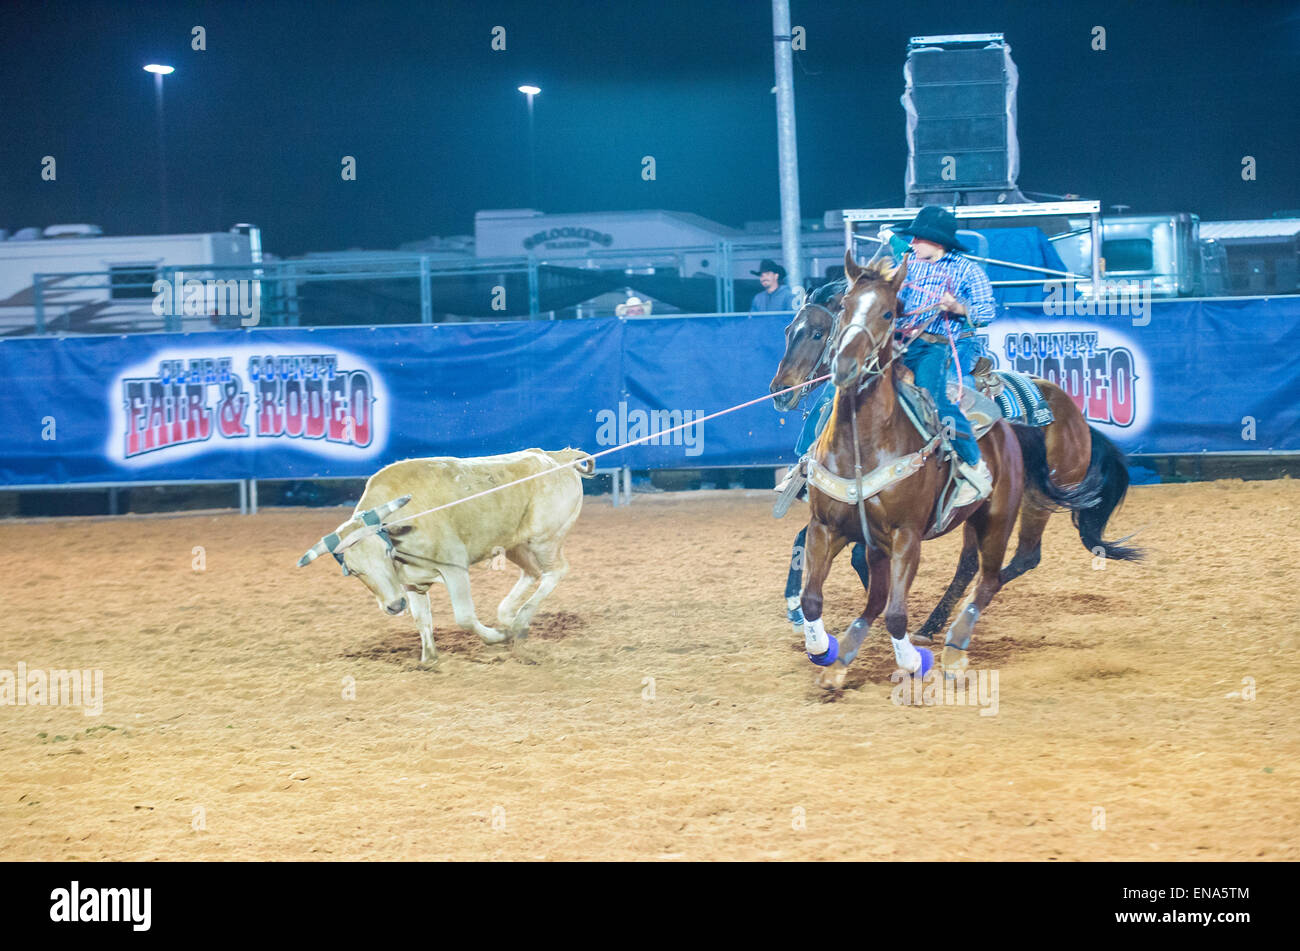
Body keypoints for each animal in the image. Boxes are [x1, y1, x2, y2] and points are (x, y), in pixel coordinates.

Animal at [298, 447, 594, 663]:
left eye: (386, 552)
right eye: (353, 570)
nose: (395, 606)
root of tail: (557, 457)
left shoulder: (454, 567)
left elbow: (464, 617)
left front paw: (496, 637)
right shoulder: (409, 583)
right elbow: (422, 619)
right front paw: (428, 658)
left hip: (545, 539)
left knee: (555, 571)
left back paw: (518, 622)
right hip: (514, 545)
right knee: (531, 572)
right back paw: (509, 616)